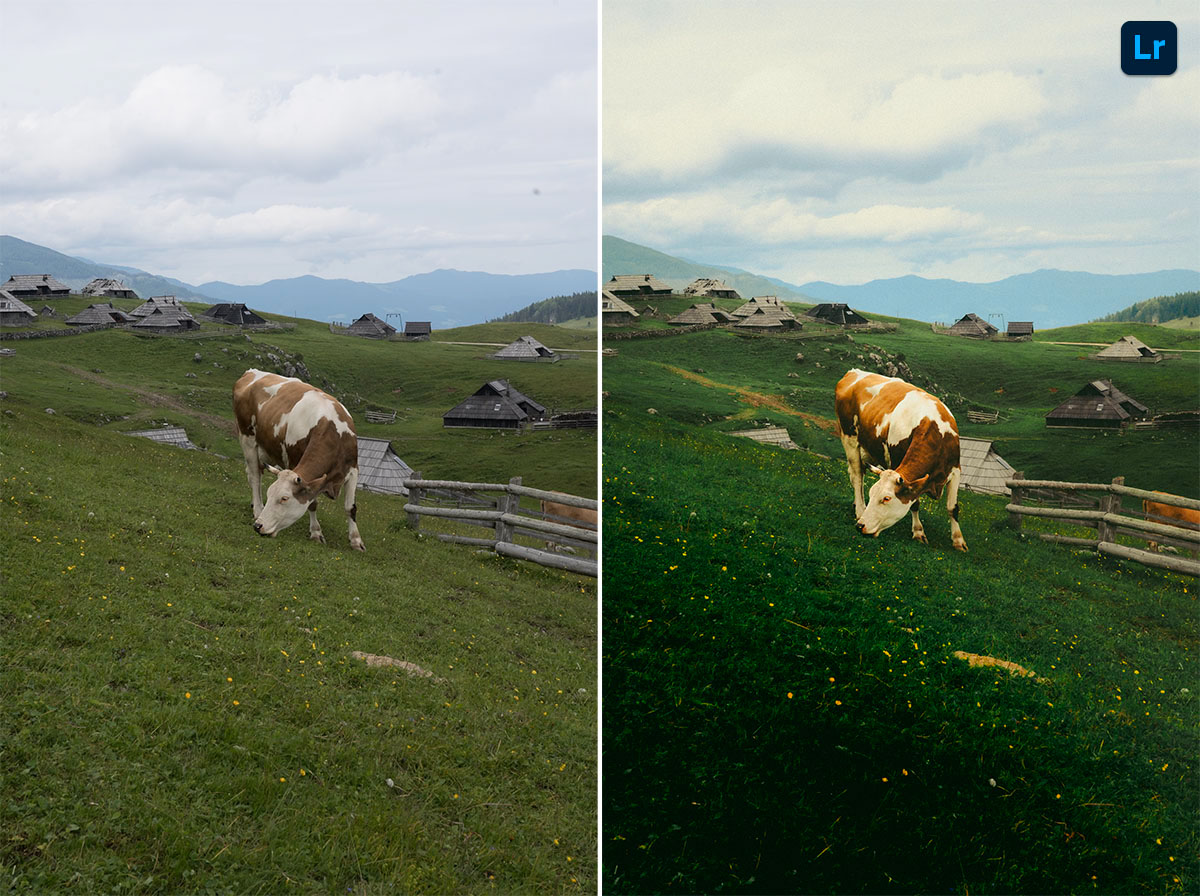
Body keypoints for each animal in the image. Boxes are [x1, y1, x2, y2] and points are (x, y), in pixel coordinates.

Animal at [233, 369, 365, 551]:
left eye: (284, 498)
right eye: (270, 494)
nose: (258, 526)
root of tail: (252, 372)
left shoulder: (353, 470)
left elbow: (350, 508)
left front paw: (356, 541)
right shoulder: (296, 464)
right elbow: (312, 504)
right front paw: (316, 533)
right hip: (248, 440)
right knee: (254, 477)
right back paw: (258, 509)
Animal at [834, 369, 967, 552]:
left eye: (886, 498)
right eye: (872, 493)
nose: (860, 526)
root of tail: (854, 372)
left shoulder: (955, 470)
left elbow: (952, 508)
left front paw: (959, 541)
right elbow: (914, 504)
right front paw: (918, 532)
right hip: (850, 439)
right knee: (857, 476)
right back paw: (860, 509)